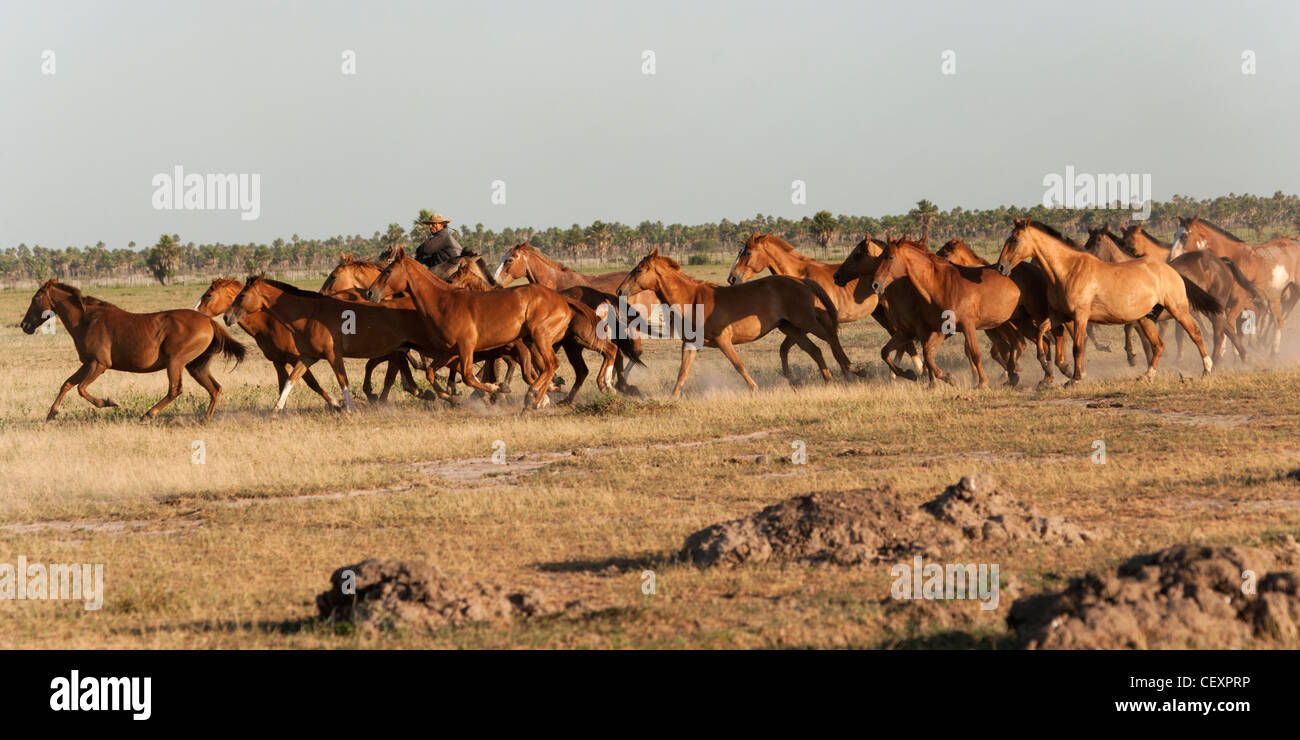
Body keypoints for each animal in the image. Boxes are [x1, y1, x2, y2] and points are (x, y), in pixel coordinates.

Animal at [22, 280, 245, 422]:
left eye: (35, 299)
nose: (24, 325)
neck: (87, 320)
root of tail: (208, 320)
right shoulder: (87, 364)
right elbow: (67, 384)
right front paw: (52, 414)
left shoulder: (99, 364)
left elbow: (81, 388)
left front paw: (109, 402)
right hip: (196, 366)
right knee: (215, 389)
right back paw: (204, 420)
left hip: (176, 362)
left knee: (176, 389)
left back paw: (147, 415)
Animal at [614, 249, 860, 398]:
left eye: (639, 269)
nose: (619, 290)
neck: (692, 299)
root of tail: (801, 281)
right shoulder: (691, 344)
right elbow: (682, 372)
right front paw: (673, 397)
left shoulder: (724, 340)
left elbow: (738, 365)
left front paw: (755, 389)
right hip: (791, 328)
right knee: (816, 350)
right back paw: (829, 380)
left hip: (807, 322)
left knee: (831, 339)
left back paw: (851, 371)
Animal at [996, 219, 1220, 383]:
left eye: (1015, 239)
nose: (1001, 267)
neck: (1068, 270)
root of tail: (1171, 270)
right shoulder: (1059, 316)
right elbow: (1041, 332)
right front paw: (1047, 364)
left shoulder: (1080, 317)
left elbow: (1078, 346)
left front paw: (1075, 378)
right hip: (1147, 318)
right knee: (1158, 345)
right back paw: (1146, 376)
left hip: (1178, 310)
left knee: (1195, 333)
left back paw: (1207, 369)